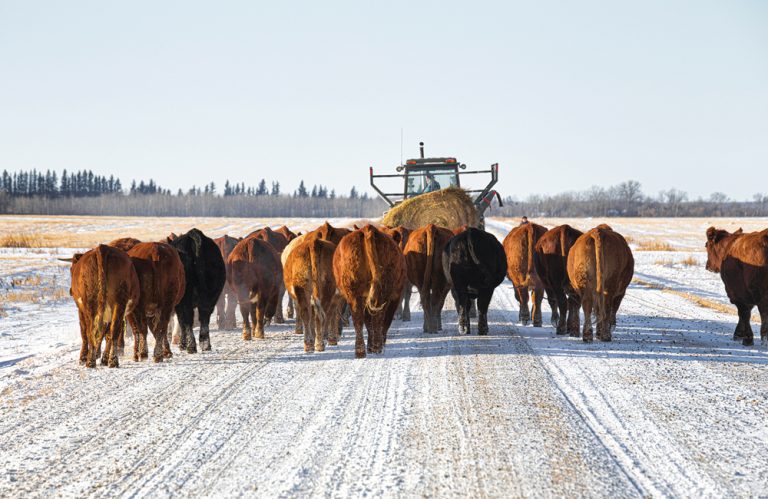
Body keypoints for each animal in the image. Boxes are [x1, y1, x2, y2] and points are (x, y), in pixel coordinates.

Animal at [333, 225, 405, 358]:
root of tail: (368, 229)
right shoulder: (395, 296)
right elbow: (384, 321)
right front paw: (379, 343)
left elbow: (367, 321)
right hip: (383, 292)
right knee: (378, 317)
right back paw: (377, 347)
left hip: (354, 293)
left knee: (358, 319)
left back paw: (360, 351)